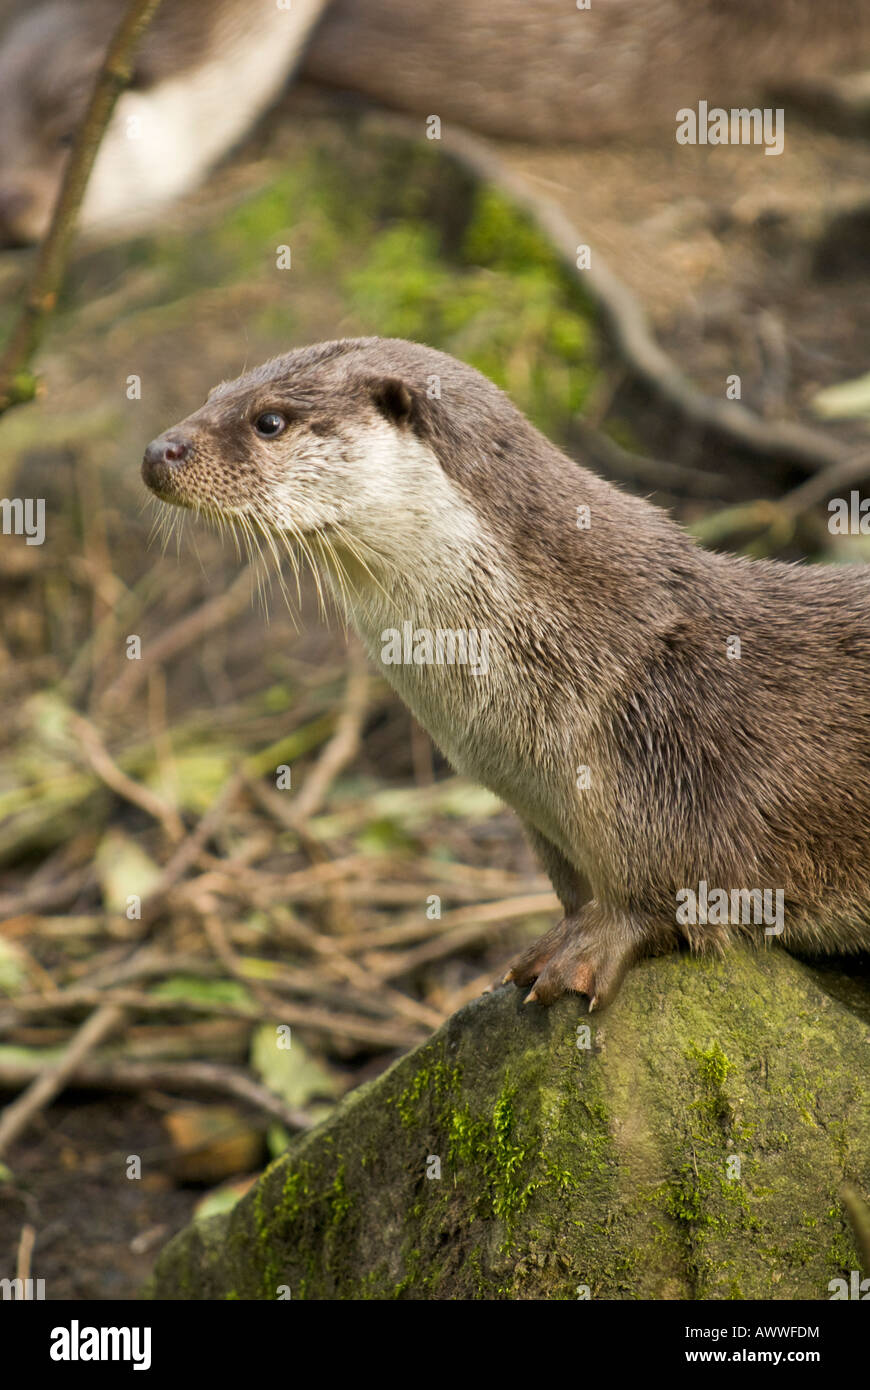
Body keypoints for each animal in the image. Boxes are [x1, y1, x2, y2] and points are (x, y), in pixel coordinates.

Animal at [141, 337, 870, 1008]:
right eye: (214, 393)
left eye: (270, 420)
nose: (157, 450)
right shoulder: (540, 816)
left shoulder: (663, 762)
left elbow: (659, 895)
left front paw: (588, 952)